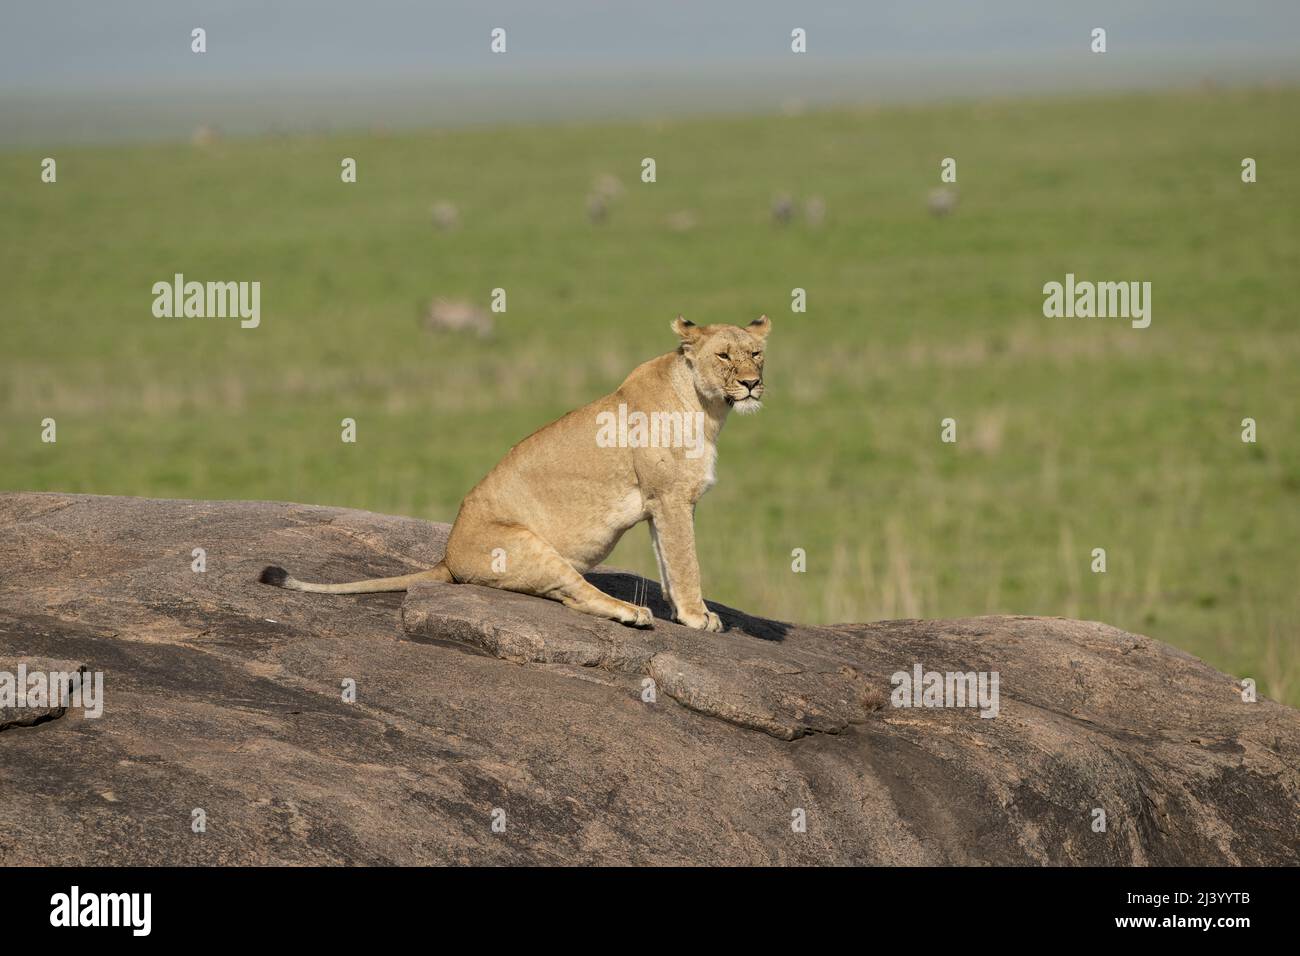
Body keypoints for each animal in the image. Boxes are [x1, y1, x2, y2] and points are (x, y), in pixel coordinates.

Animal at [259, 314, 770, 631]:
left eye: (756, 354)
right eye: (724, 356)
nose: (752, 384)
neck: (708, 408)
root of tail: (446, 559)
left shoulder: (661, 504)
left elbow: (667, 560)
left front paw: (682, 610)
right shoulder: (671, 497)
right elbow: (686, 562)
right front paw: (697, 617)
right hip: (529, 545)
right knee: (573, 594)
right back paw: (631, 613)